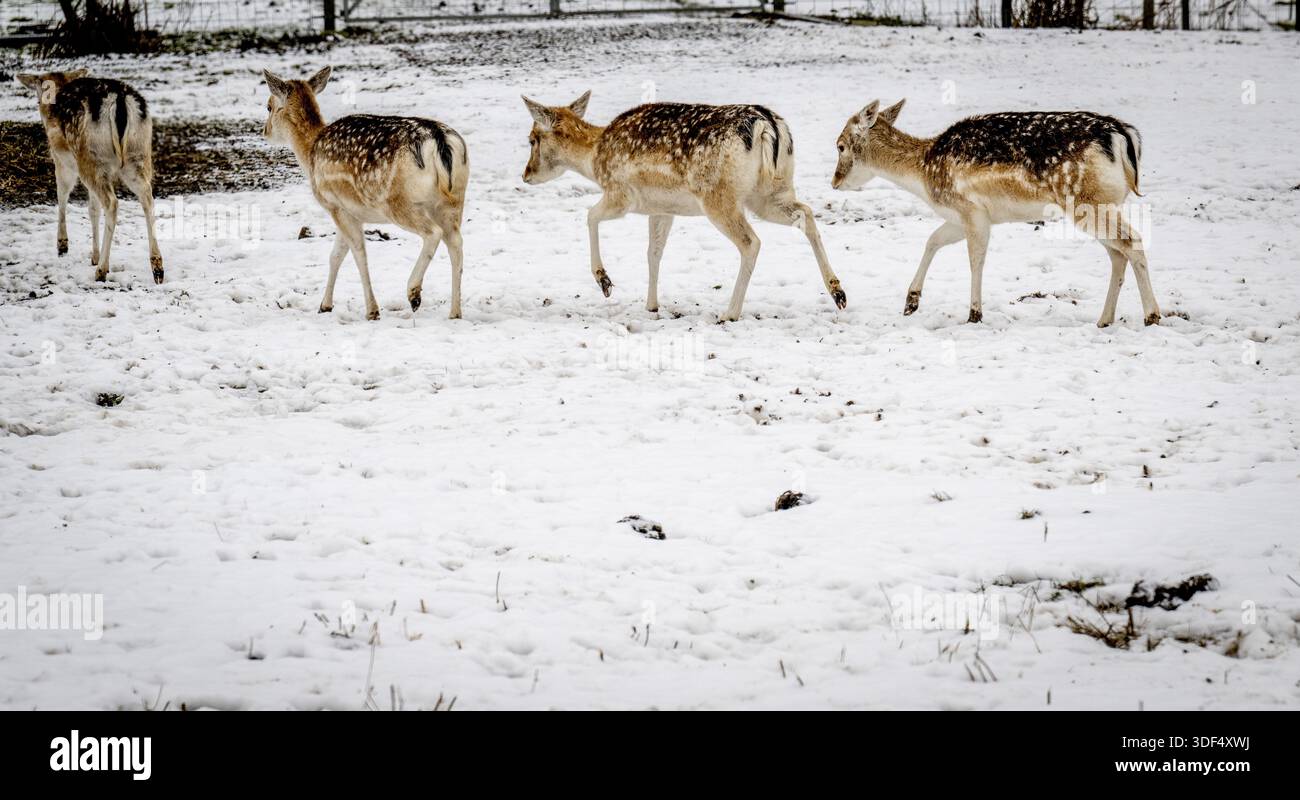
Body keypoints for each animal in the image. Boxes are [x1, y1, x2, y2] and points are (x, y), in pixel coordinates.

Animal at [16, 70, 163, 284]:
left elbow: (62, 194)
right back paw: (157, 267)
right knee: (147, 196)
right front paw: (93, 256)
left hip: (91, 158)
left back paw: (102, 270)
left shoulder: (62, 159)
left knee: (111, 202)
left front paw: (63, 246)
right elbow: (93, 209)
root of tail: (119, 99)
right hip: (138, 153)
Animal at [262, 67, 468, 320]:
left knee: (433, 233)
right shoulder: (351, 211)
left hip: (398, 203)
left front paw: (372, 311)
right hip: (454, 199)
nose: (264, 131)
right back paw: (455, 312)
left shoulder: (334, 205)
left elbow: (358, 252)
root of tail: (441, 141)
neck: (309, 152)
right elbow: (335, 255)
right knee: (456, 243)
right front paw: (324, 306)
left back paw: (413, 293)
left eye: (268, 106)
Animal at [521, 92, 847, 321]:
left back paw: (730, 312)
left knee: (751, 241)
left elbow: (590, 216)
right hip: (770, 192)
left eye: (532, 139)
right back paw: (838, 292)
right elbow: (653, 253)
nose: (525, 175)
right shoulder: (661, 208)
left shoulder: (622, 195)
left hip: (719, 197)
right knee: (806, 213)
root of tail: (767, 125)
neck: (594, 158)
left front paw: (605, 281)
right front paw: (651, 306)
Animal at [832, 100, 1160, 328]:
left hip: (1087, 203)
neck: (924, 174)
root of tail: (1124, 136)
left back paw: (1152, 316)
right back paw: (1105, 319)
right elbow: (933, 240)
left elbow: (975, 260)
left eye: (840, 146)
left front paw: (974, 313)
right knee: (1117, 253)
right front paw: (911, 302)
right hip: (1101, 204)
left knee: (1132, 242)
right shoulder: (959, 217)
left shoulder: (972, 210)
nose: (834, 182)